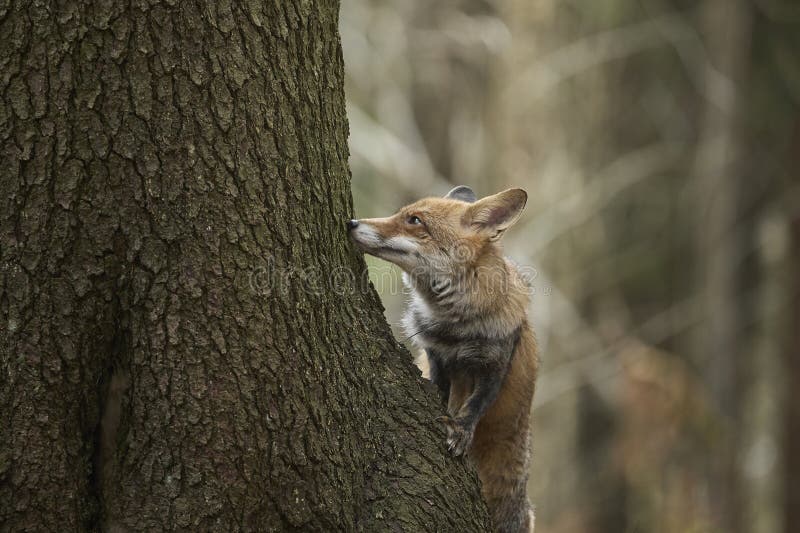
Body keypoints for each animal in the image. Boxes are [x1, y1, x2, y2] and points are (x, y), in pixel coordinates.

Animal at [347, 186, 538, 533]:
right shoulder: (436, 357)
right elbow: (438, 392)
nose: (351, 222)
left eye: (414, 220)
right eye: (402, 213)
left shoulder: (496, 363)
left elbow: (475, 405)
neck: (455, 327)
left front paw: (461, 431)